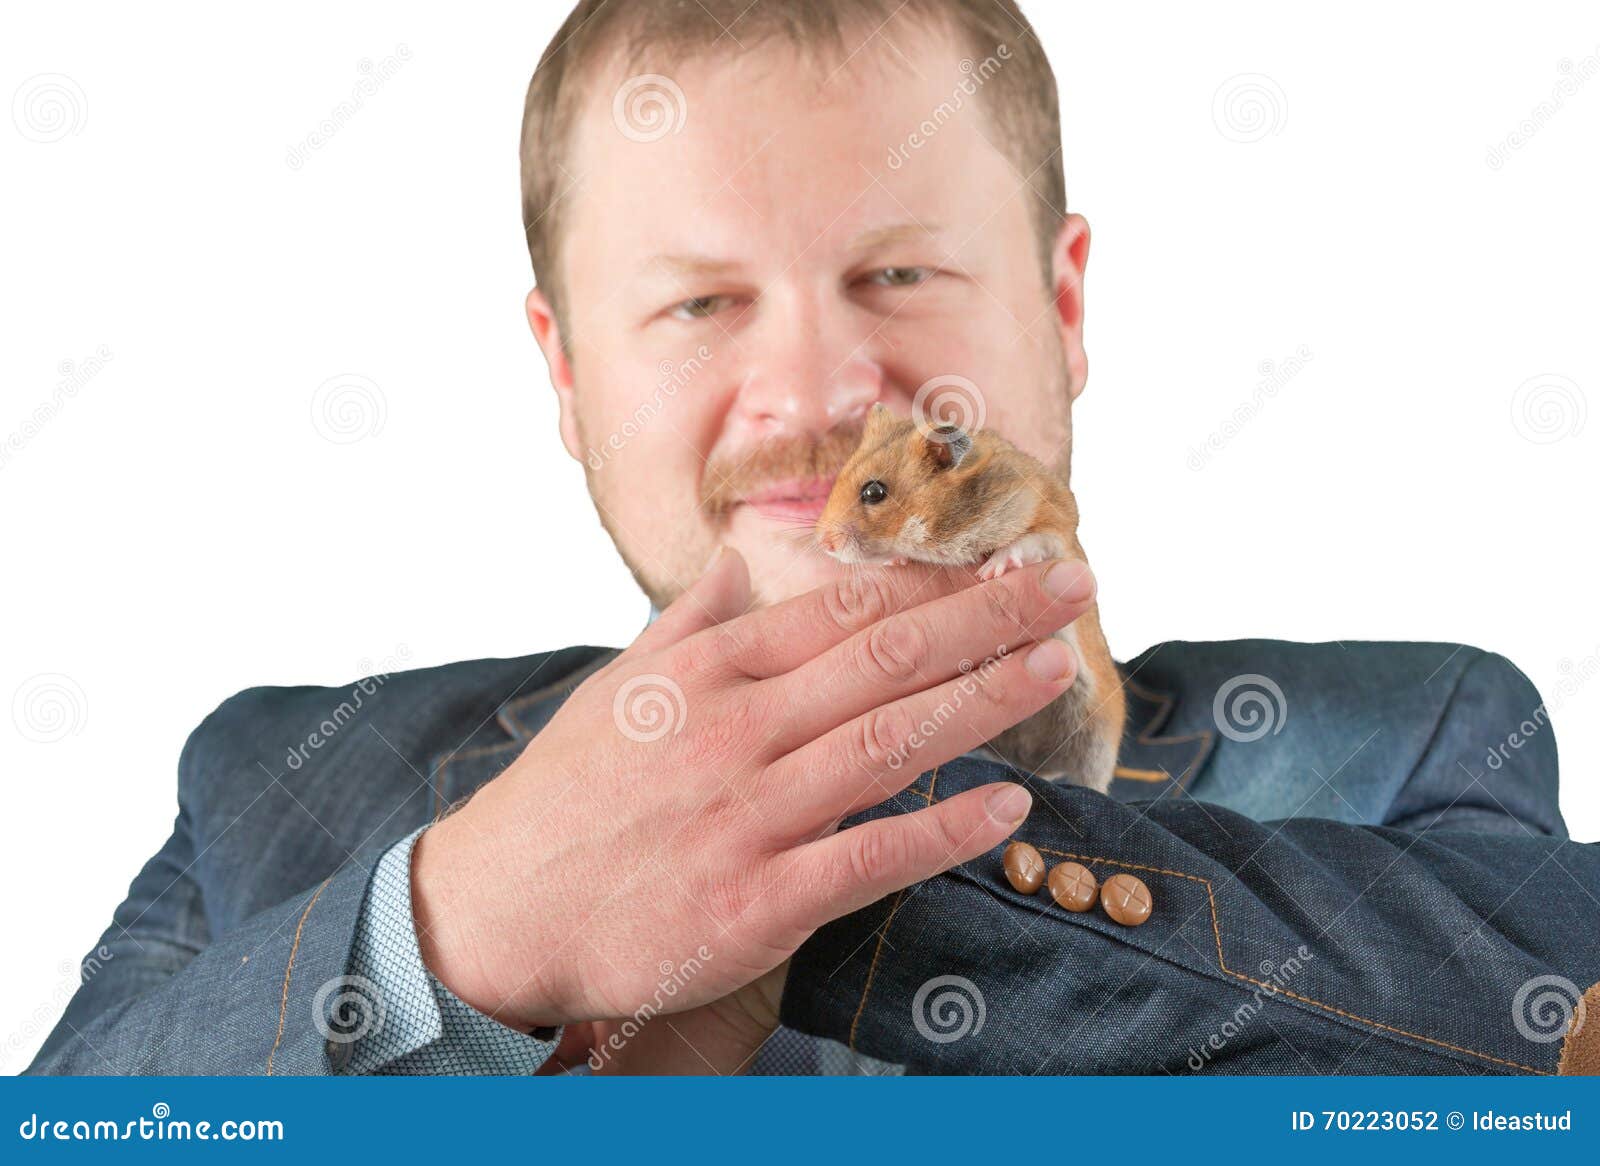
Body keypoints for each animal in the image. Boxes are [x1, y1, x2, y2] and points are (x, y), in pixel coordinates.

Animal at [813, 403, 1124, 792]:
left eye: (874, 492)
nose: (823, 544)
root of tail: (1036, 763)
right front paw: (895, 560)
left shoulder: (1053, 520)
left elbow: (1029, 541)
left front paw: (991, 570)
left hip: (1098, 737)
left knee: (1095, 783)